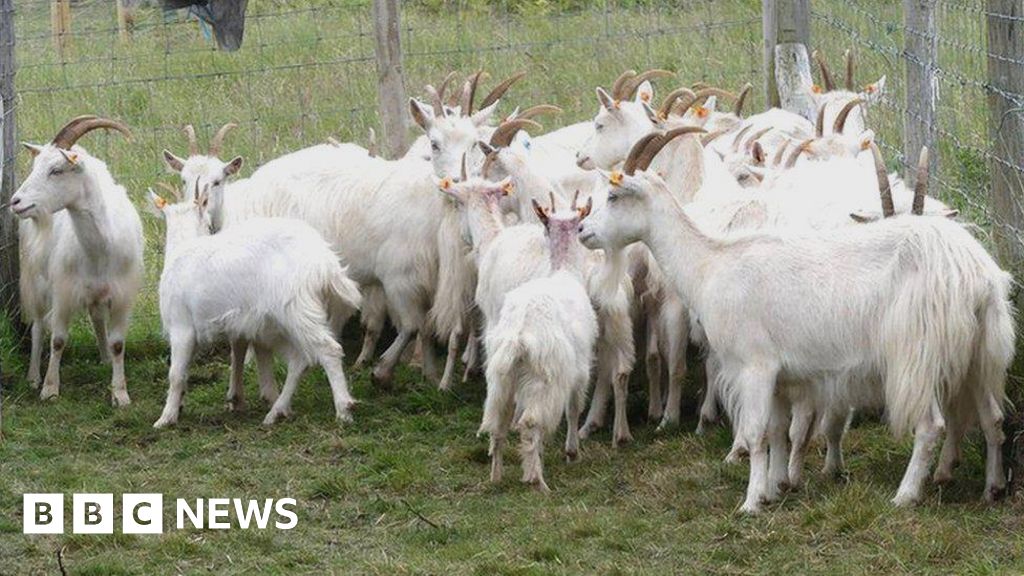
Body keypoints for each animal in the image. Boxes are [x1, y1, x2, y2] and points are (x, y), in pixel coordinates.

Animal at [11, 116, 143, 406]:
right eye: (35, 166)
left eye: (56, 170)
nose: (15, 201)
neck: (100, 250)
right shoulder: (63, 292)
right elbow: (58, 339)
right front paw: (49, 389)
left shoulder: (122, 295)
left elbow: (118, 343)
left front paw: (120, 393)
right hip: (36, 280)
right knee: (38, 326)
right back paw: (33, 376)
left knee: (96, 317)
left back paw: (104, 358)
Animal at [149, 183, 362, 428]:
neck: (182, 250)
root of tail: (325, 264)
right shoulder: (245, 326)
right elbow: (241, 356)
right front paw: (236, 399)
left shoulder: (181, 326)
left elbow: (176, 374)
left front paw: (165, 418)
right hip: (288, 321)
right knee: (301, 359)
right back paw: (277, 411)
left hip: (296, 310)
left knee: (327, 350)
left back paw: (344, 410)